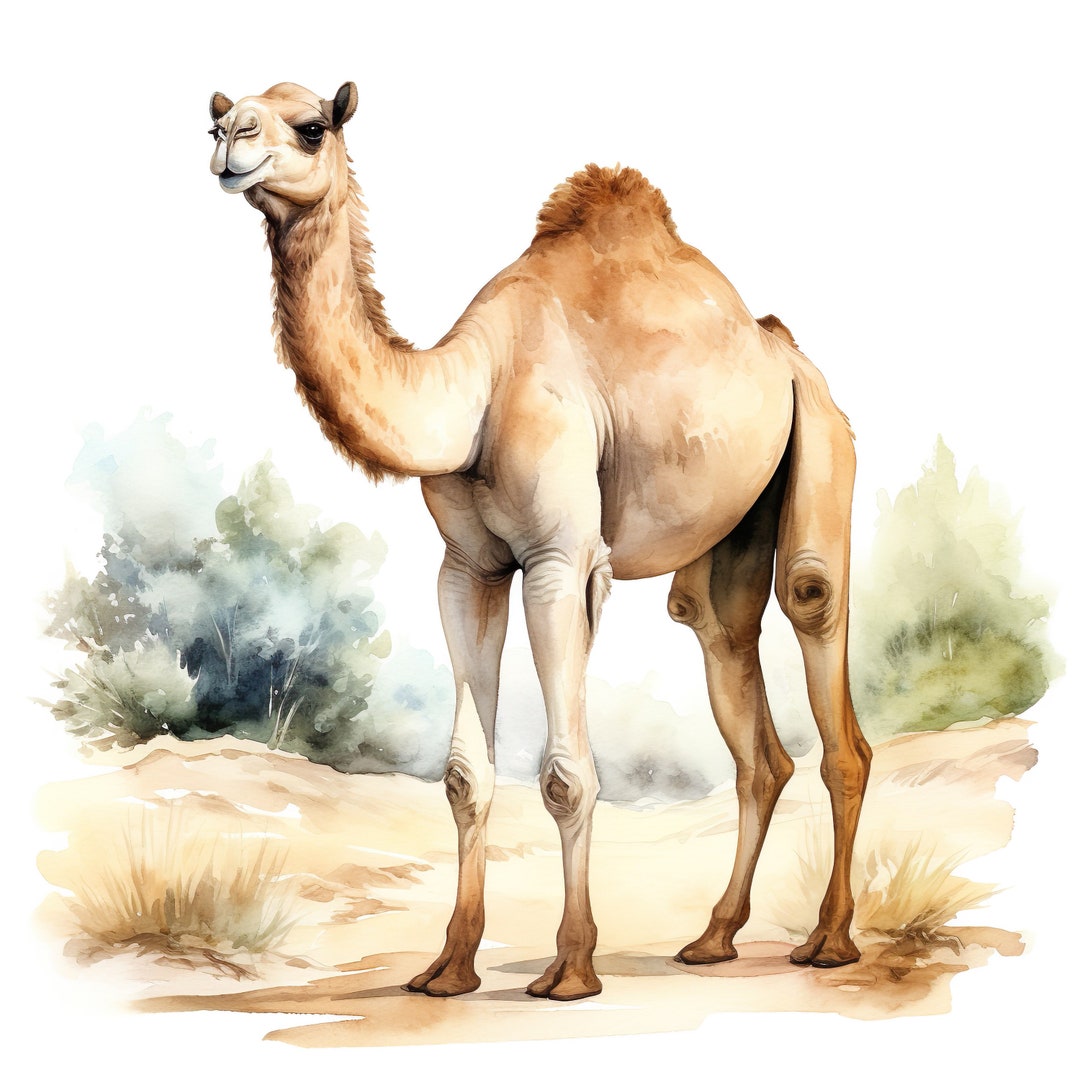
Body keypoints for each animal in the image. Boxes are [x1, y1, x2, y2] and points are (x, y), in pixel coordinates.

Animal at [208, 81, 872, 1001]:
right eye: (221, 115)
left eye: (310, 126)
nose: (229, 142)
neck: (472, 389)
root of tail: (781, 347)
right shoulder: (469, 569)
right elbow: (464, 775)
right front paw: (449, 966)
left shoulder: (562, 561)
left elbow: (565, 773)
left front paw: (572, 967)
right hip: (733, 524)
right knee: (729, 658)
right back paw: (712, 938)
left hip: (822, 439)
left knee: (818, 624)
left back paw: (831, 939)